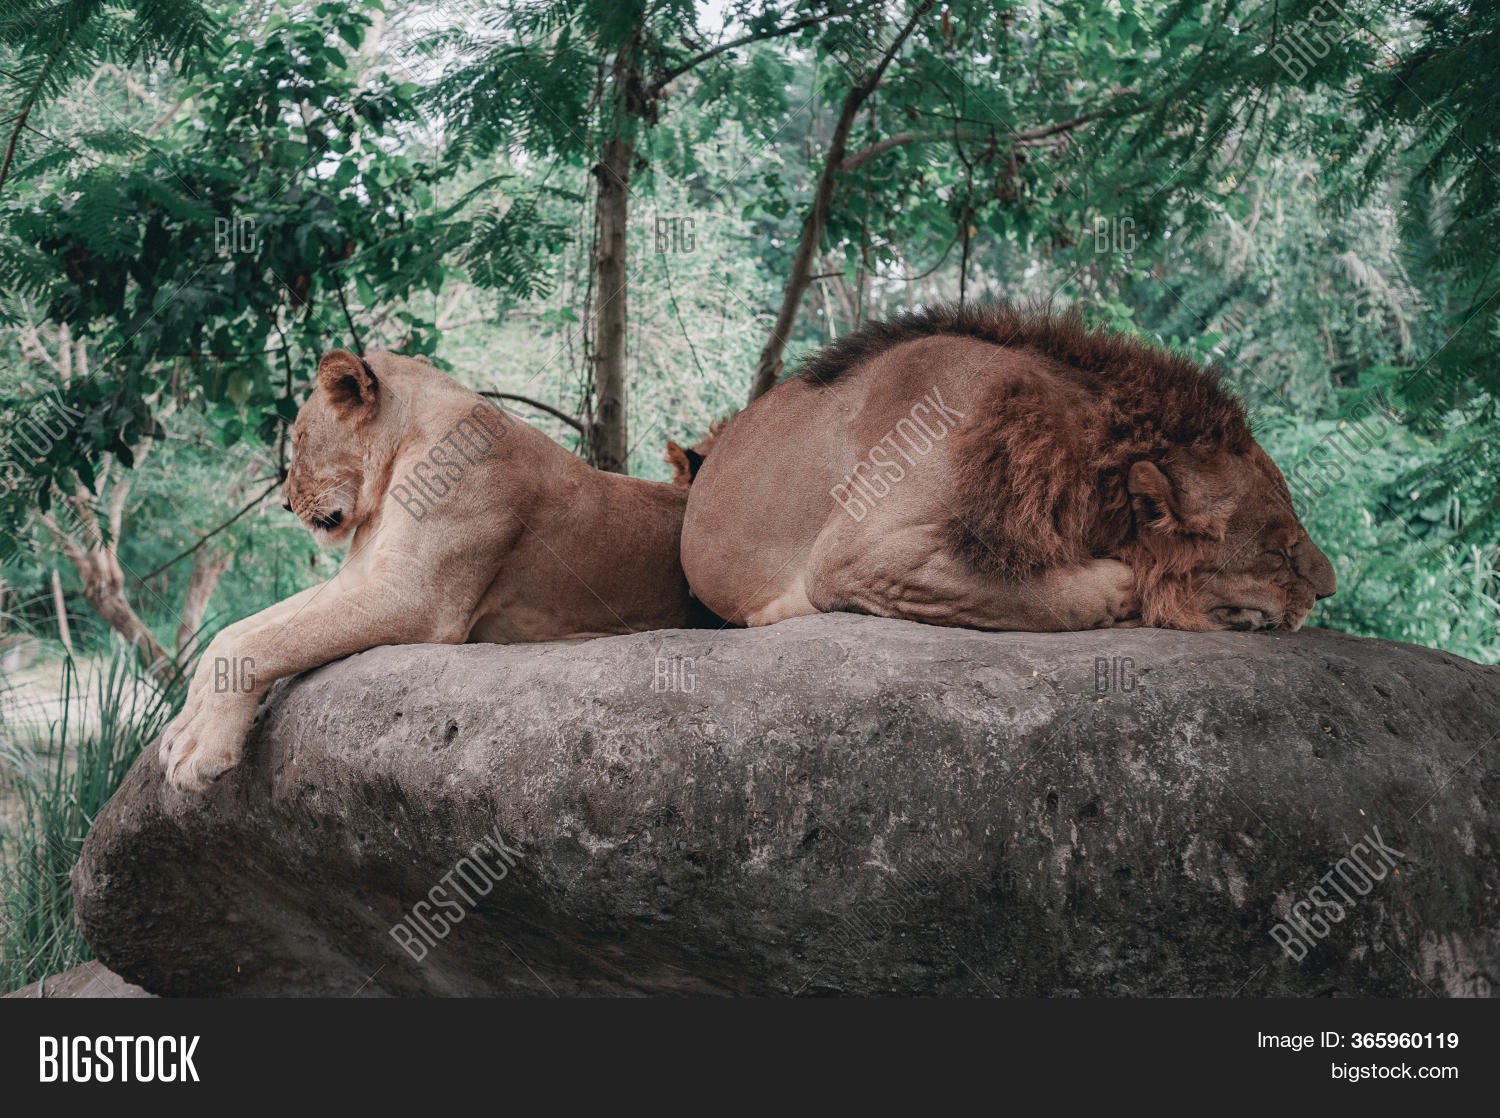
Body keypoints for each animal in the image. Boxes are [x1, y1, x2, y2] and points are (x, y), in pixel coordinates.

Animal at [159, 348, 698, 793]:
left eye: (299, 437)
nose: (286, 504)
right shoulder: (360, 580)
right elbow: (231, 635)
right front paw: (181, 731)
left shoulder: (416, 597)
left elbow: (263, 642)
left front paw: (200, 751)